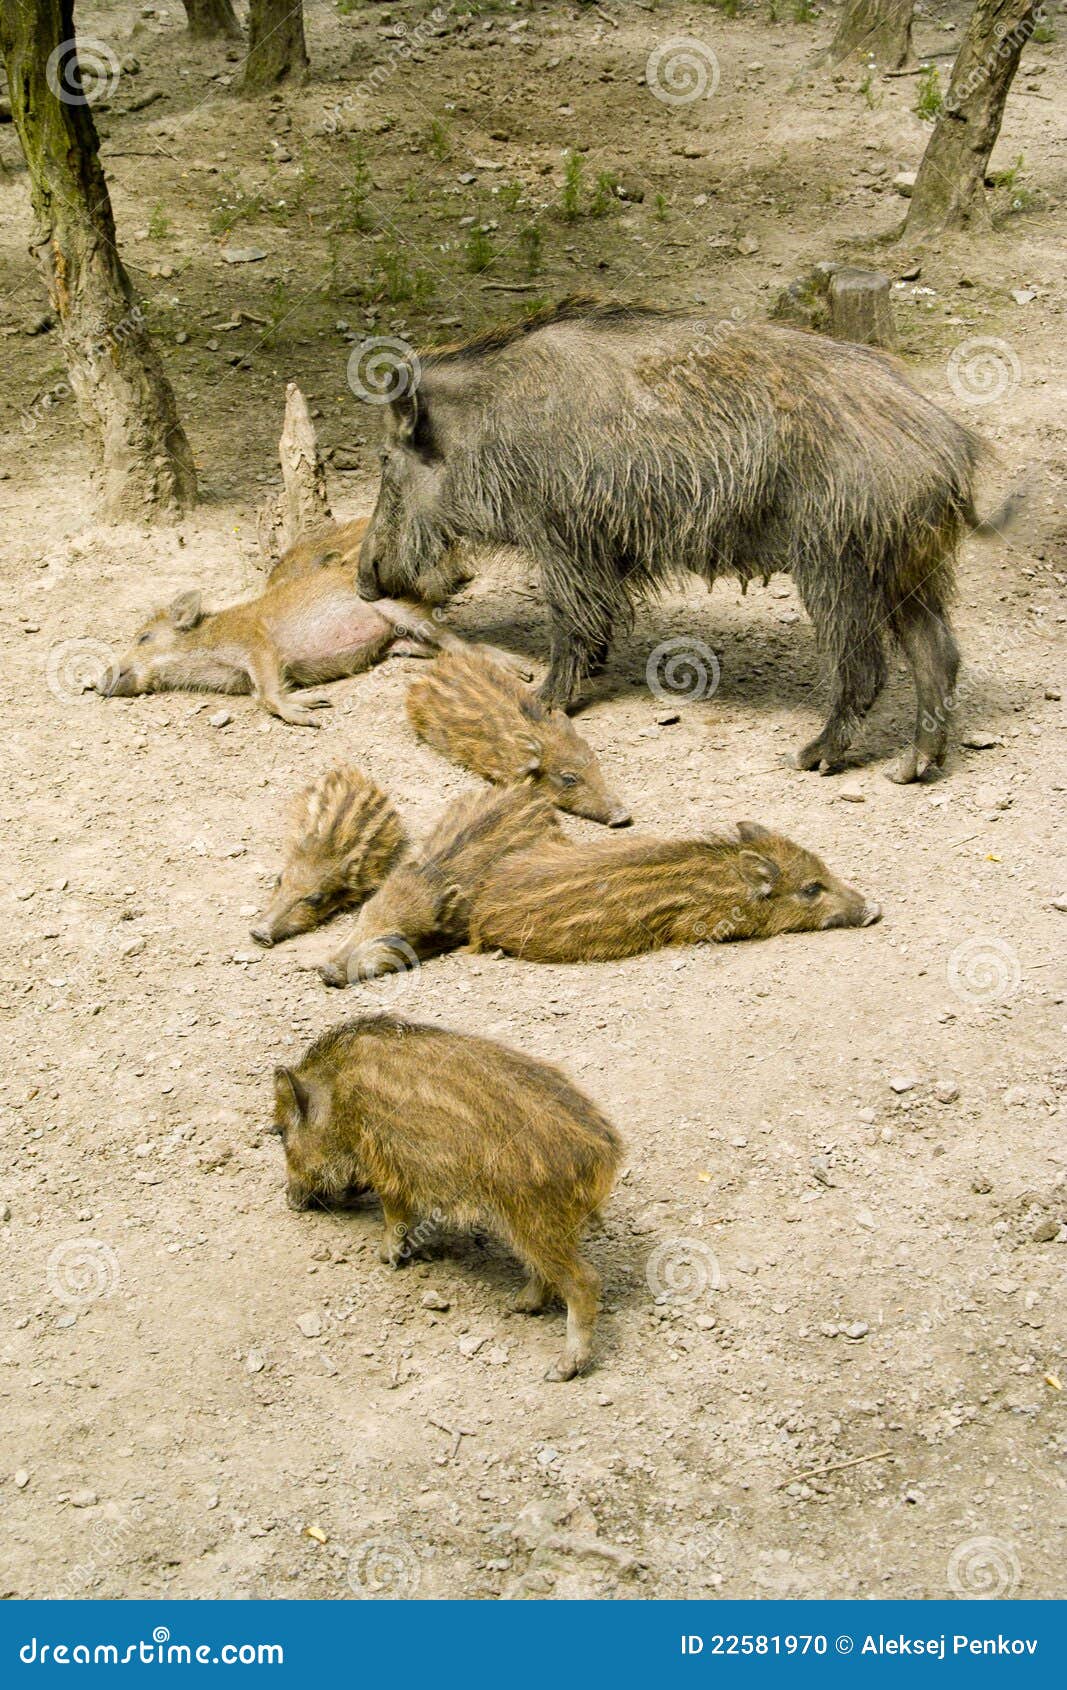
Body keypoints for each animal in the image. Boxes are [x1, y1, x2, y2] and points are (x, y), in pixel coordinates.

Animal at [102, 564, 530, 728]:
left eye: (144, 637)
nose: (101, 679)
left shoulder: (259, 649)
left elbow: (269, 695)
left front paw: (314, 713)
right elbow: (261, 695)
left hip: (404, 612)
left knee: (459, 641)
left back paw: (519, 669)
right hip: (400, 641)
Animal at [272, 1013, 622, 1379]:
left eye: (280, 1133)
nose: (290, 1201)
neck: (339, 1095)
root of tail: (606, 1156)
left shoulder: (387, 1163)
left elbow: (394, 1214)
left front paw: (386, 1258)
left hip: (533, 1218)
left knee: (584, 1281)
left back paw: (563, 1367)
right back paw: (519, 1304)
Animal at [355, 297, 1012, 783]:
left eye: (387, 459)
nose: (363, 583)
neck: (487, 430)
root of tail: (949, 446)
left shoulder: (565, 536)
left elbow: (570, 619)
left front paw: (542, 701)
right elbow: (598, 619)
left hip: (836, 563)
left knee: (868, 666)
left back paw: (811, 757)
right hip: (908, 567)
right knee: (938, 653)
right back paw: (912, 768)